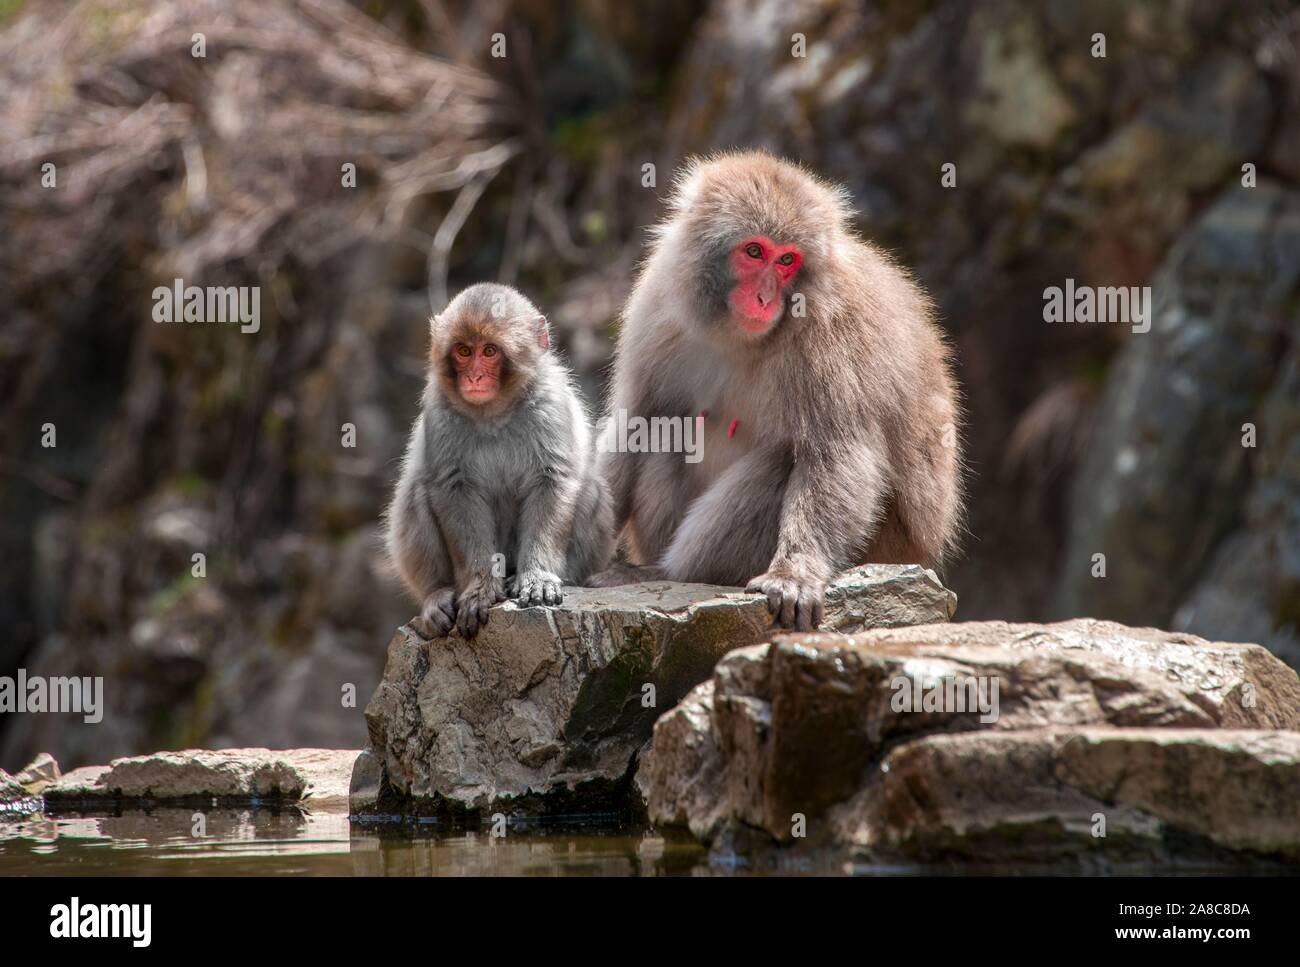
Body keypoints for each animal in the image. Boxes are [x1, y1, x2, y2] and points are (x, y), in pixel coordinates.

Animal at [386, 283, 613, 639]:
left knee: (590, 487)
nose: (475, 377)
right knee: (417, 490)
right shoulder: (439, 412)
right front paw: (480, 588)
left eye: (490, 351)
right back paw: (436, 594)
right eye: (464, 351)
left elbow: (552, 479)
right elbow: (454, 488)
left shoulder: (550, 405)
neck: (494, 413)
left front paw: (538, 577)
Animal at [591, 151, 964, 630]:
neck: (739, 337)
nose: (766, 299)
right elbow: (636, 420)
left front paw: (795, 573)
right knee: (666, 425)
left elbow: (836, 452)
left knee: (783, 456)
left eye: (787, 259)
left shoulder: (831, 334)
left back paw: (669, 572)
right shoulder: (658, 307)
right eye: (754, 251)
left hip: (884, 544)